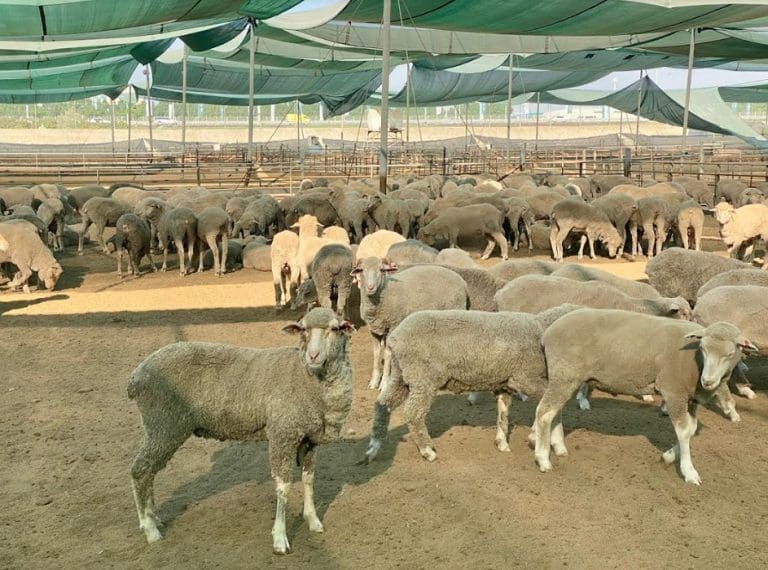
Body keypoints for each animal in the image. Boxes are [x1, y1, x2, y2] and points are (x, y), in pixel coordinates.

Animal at [128, 308, 355, 554]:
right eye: (303, 330)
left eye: (335, 329)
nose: (313, 356)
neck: (306, 376)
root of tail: (136, 376)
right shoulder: (282, 435)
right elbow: (283, 488)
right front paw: (279, 538)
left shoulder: (309, 439)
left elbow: (309, 480)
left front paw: (313, 520)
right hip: (163, 425)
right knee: (140, 470)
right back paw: (150, 528)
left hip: (162, 428)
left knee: (149, 472)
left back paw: (153, 518)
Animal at [352, 257, 469, 390]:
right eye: (362, 270)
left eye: (381, 270)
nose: (370, 287)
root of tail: (462, 282)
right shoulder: (373, 329)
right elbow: (376, 354)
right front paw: (374, 382)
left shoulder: (393, 325)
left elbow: (387, 354)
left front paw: (385, 383)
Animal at [365, 304, 581, 463]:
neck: (540, 332)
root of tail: (396, 336)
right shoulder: (525, 378)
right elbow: (552, 408)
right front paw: (553, 444)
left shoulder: (504, 383)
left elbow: (503, 413)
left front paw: (502, 443)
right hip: (422, 378)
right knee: (413, 413)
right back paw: (427, 451)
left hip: (401, 375)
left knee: (382, 404)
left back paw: (373, 447)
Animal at [534, 308, 755, 485]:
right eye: (703, 349)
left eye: (730, 354)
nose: (707, 381)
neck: (695, 362)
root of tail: (548, 333)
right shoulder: (673, 392)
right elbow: (683, 431)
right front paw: (689, 471)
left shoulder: (690, 398)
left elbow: (691, 429)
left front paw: (669, 456)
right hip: (565, 374)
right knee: (544, 413)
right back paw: (543, 458)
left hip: (566, 378)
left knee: (555, 411)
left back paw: (559, 447)